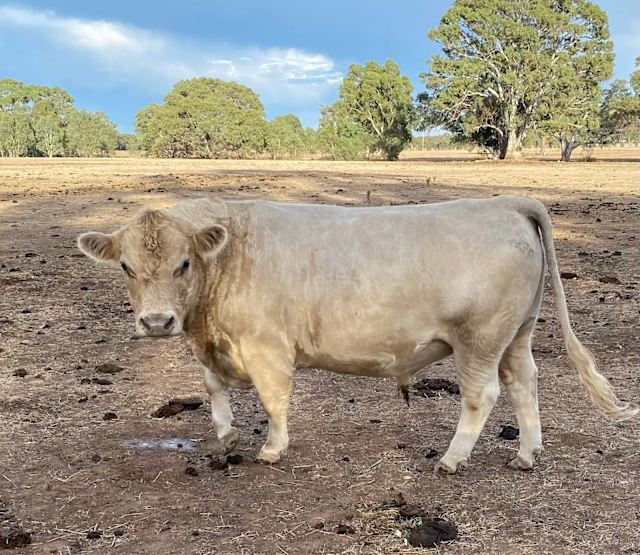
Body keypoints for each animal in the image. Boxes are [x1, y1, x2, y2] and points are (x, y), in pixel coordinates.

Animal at [77, 195, 637, 473]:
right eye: (126, 267)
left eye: (184, 263)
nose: (156, 322)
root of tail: (506, 202)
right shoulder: (219, 347)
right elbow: (213, 385)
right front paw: (225, 430)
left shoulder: (266, 346)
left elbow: (274, 400)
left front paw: (272, 448)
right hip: (516, 333)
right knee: (524, 383)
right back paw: (526, 454)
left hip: (478, 338)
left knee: (483, 395)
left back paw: (452, 460)